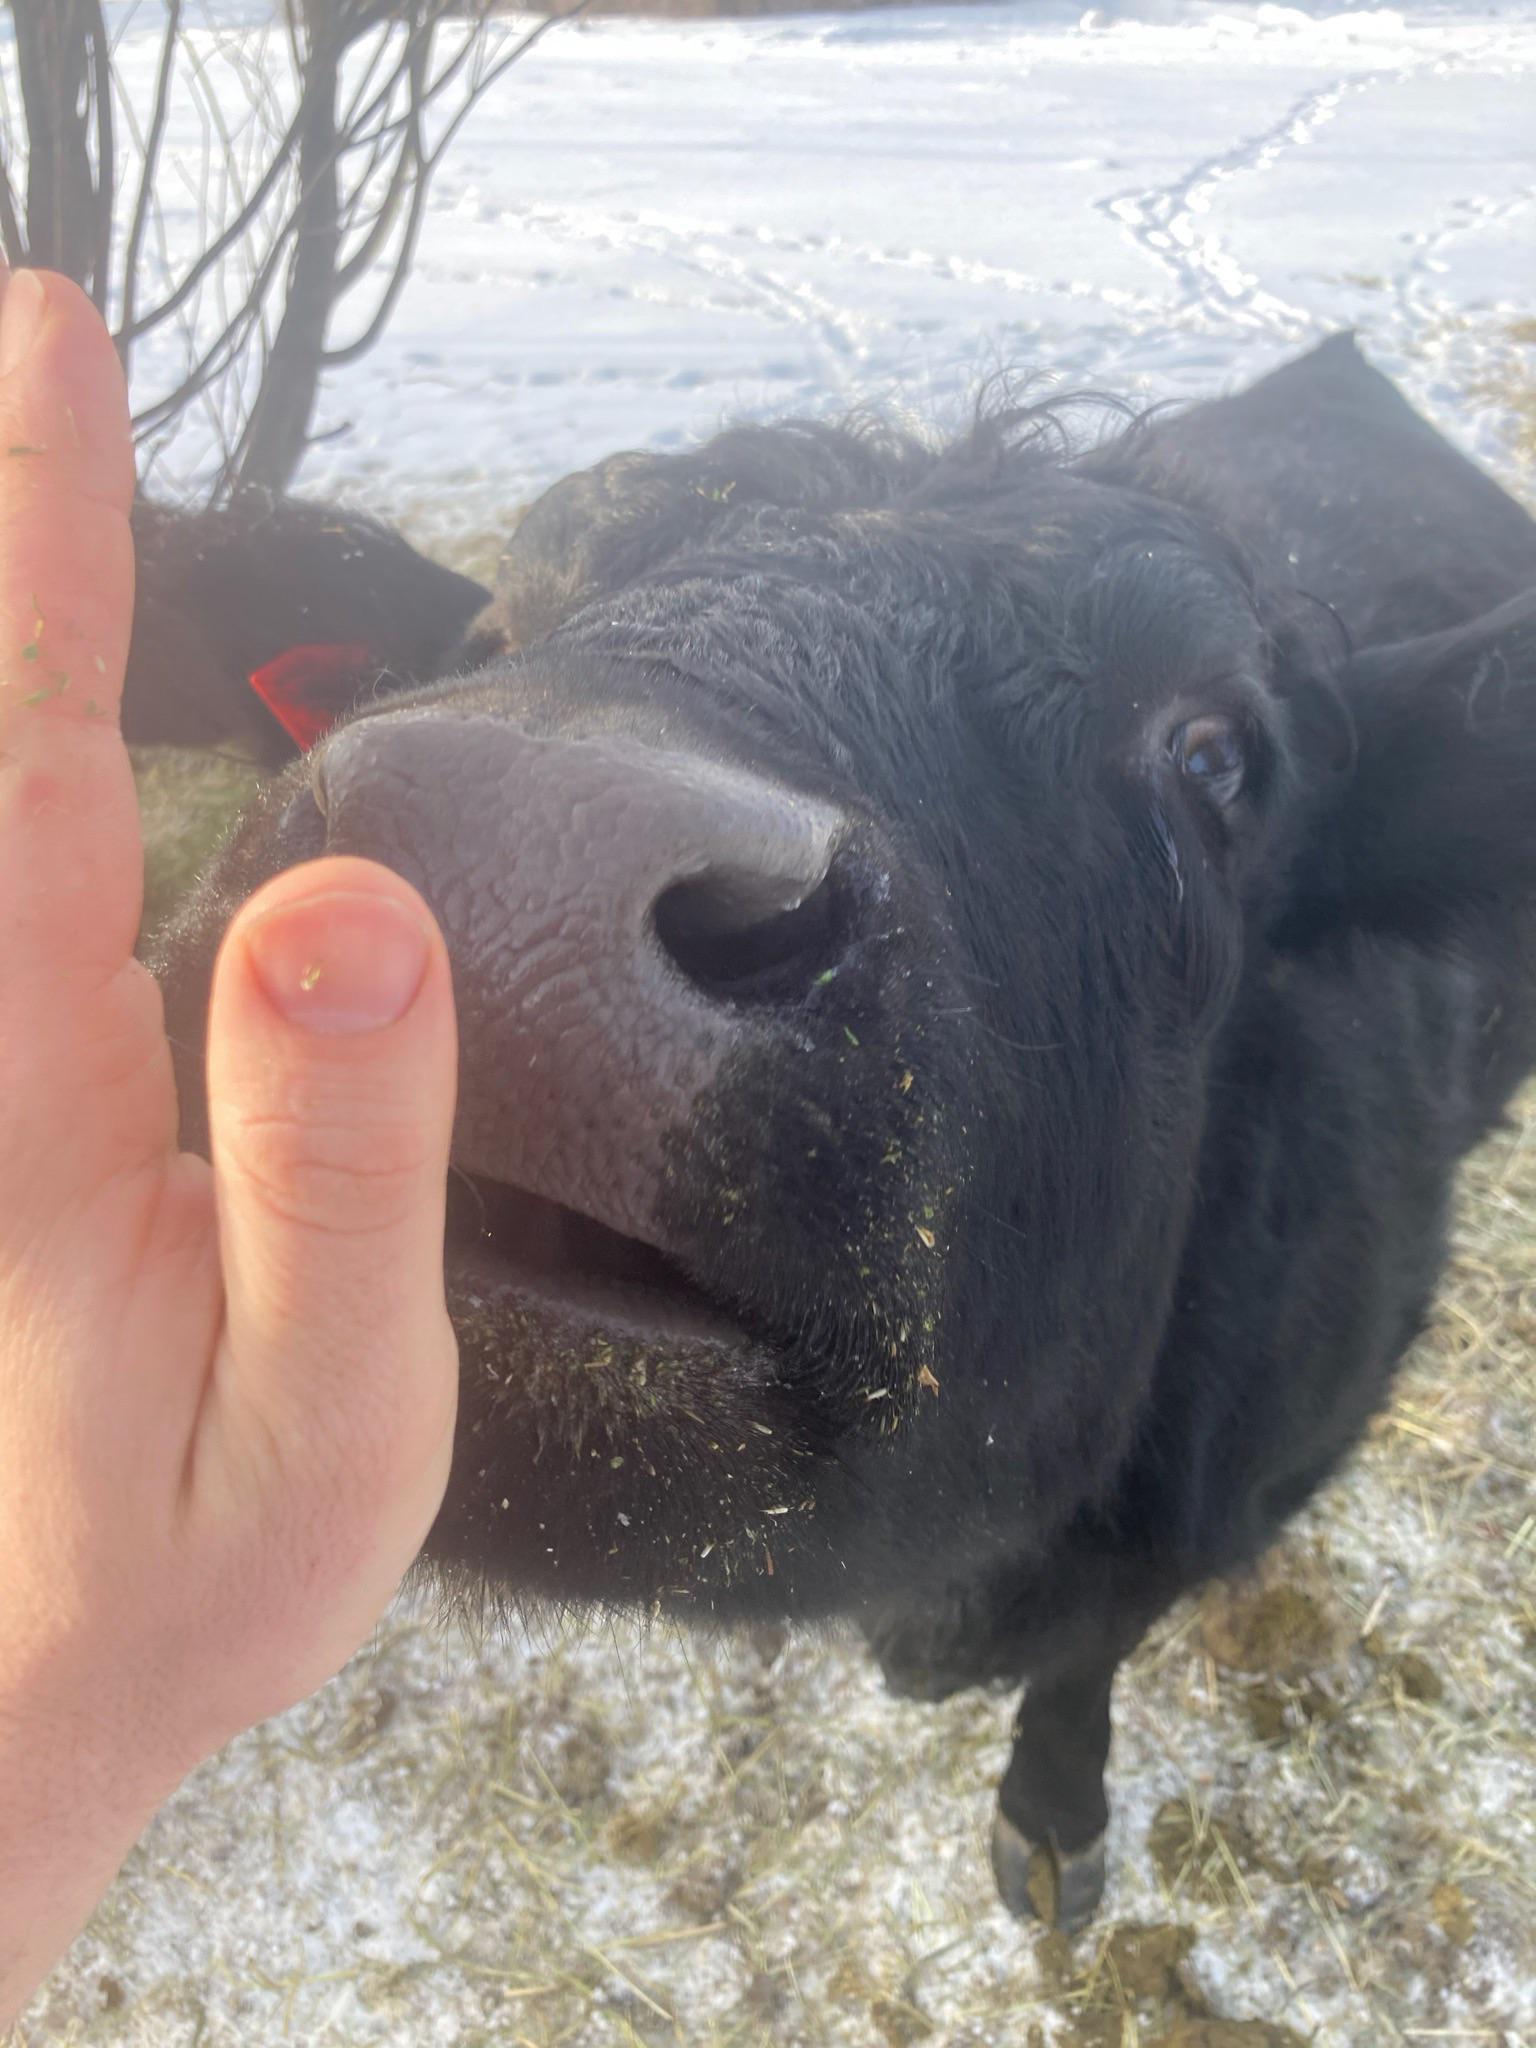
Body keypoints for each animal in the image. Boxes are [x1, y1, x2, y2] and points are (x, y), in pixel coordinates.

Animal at [145, 335, 1536, 1930]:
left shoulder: (1239, 1483)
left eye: (1214, 756)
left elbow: (1091, 1655)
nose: (511, 853)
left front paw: (1053, 1818)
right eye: (491, 617)